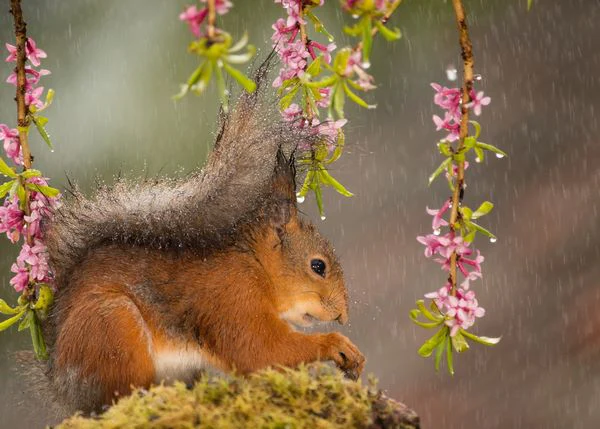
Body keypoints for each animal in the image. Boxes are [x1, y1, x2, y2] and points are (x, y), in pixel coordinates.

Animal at [39, 67, 366, 412]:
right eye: (318, 266)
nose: (343, 316)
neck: (256, 263)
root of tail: (64, 385)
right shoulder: (231, 296)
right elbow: (260, 350)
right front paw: (337, 345)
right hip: (113, 326)